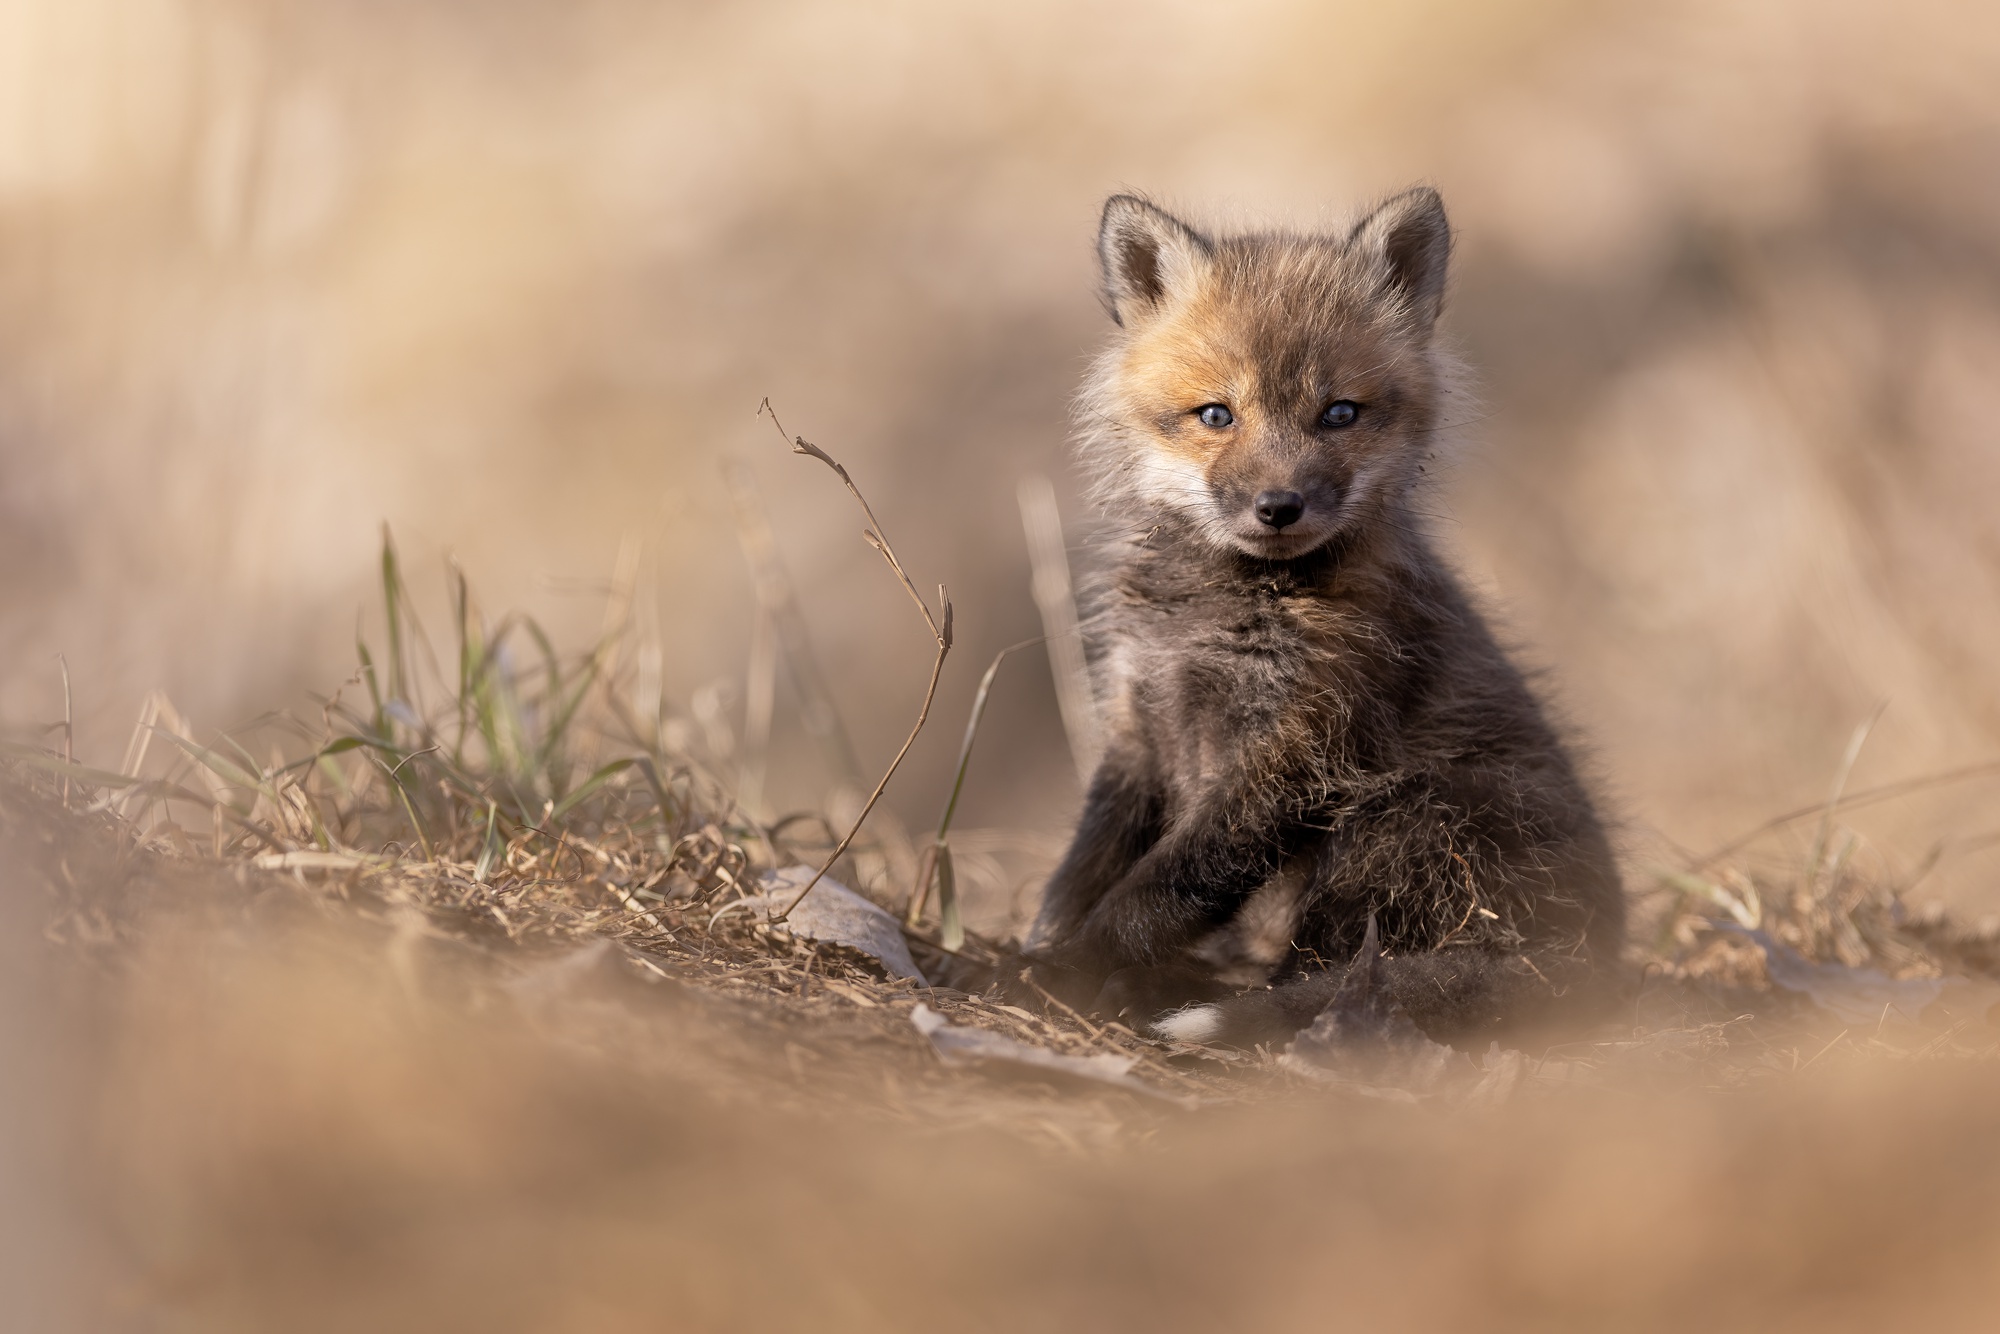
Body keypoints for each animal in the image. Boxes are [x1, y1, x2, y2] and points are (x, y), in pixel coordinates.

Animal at [1019, 187, 1626, 1049]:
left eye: (1339, 413)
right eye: (1216, 415)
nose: (1279, 507)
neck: (1219, 613)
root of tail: (1592, 961)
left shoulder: (1303, 749)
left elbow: (1166, 886)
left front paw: (1076, 967)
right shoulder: (1140, 718)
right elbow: (1086, 864)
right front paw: (1040, 947)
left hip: (1395, 815)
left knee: (1324, 974)